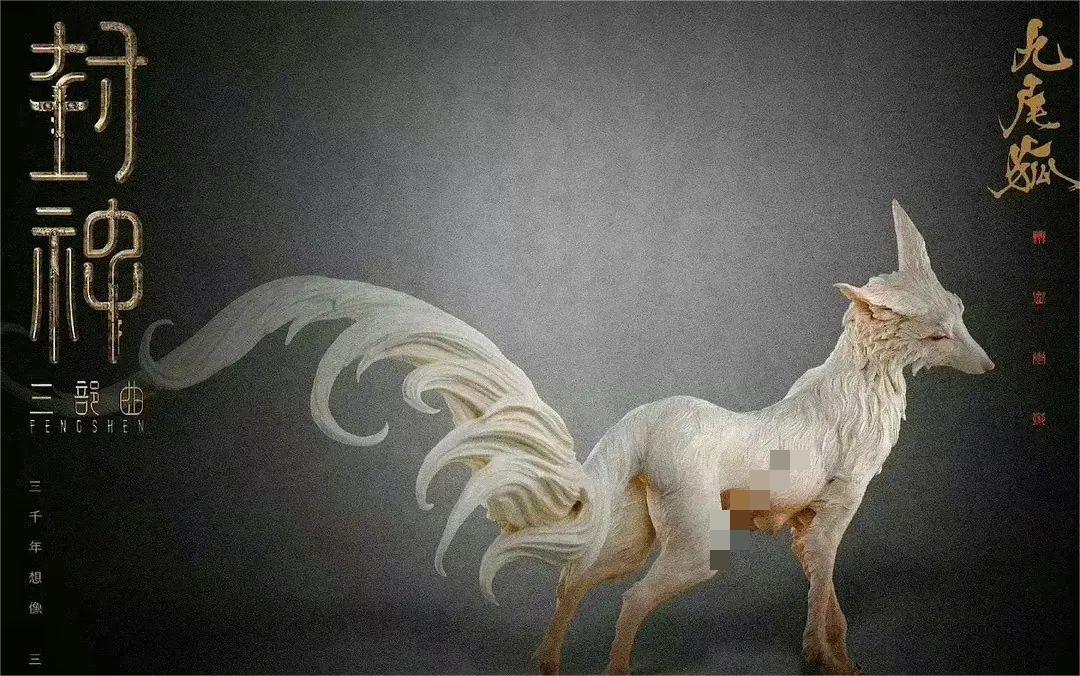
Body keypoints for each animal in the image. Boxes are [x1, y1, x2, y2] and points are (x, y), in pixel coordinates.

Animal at [6, 200, 993, 675]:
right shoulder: (834, 510)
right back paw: (607, 673)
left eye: (960, 316)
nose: (986, 366)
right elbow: (826, 589)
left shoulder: (807, 527)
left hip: (637, 529)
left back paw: (549, 664)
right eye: (935, 333)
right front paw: (838, 662)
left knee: (572, 580)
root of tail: (634, 430)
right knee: (631, 601)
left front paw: (828, 656)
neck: (856, 394)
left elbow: (826, 593)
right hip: (691, 545)